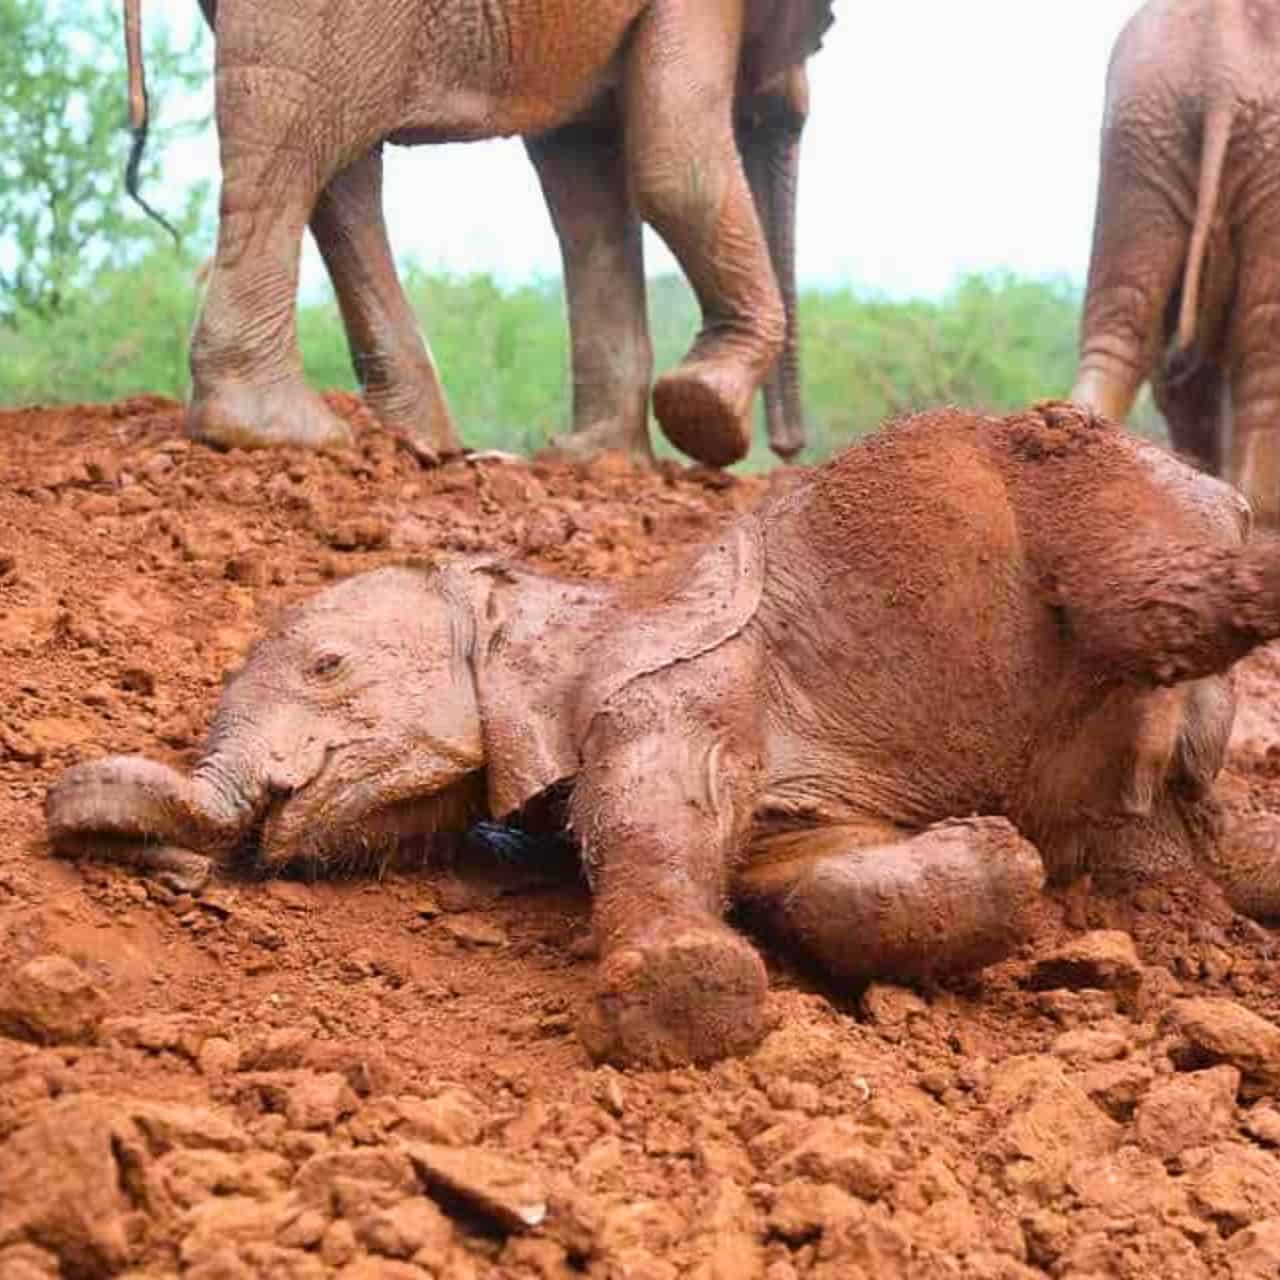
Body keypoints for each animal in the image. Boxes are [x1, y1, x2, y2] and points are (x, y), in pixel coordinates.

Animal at [45, 400, 1280, 1068]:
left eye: (327, 667)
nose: (75, 822)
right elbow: (813, 878)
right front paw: (995, 857)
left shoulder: (668, 681)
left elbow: (661, 818)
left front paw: (680, 1000)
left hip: (1102, 497)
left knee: (1162, 604)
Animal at [123, 0, 833, 468]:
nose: (789, 449)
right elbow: (675, 165)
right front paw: (704, 413)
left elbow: (585, 184)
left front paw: (595, 463)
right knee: (302, 129)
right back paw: (289, 436)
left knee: (329, 151)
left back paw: (417, 445)